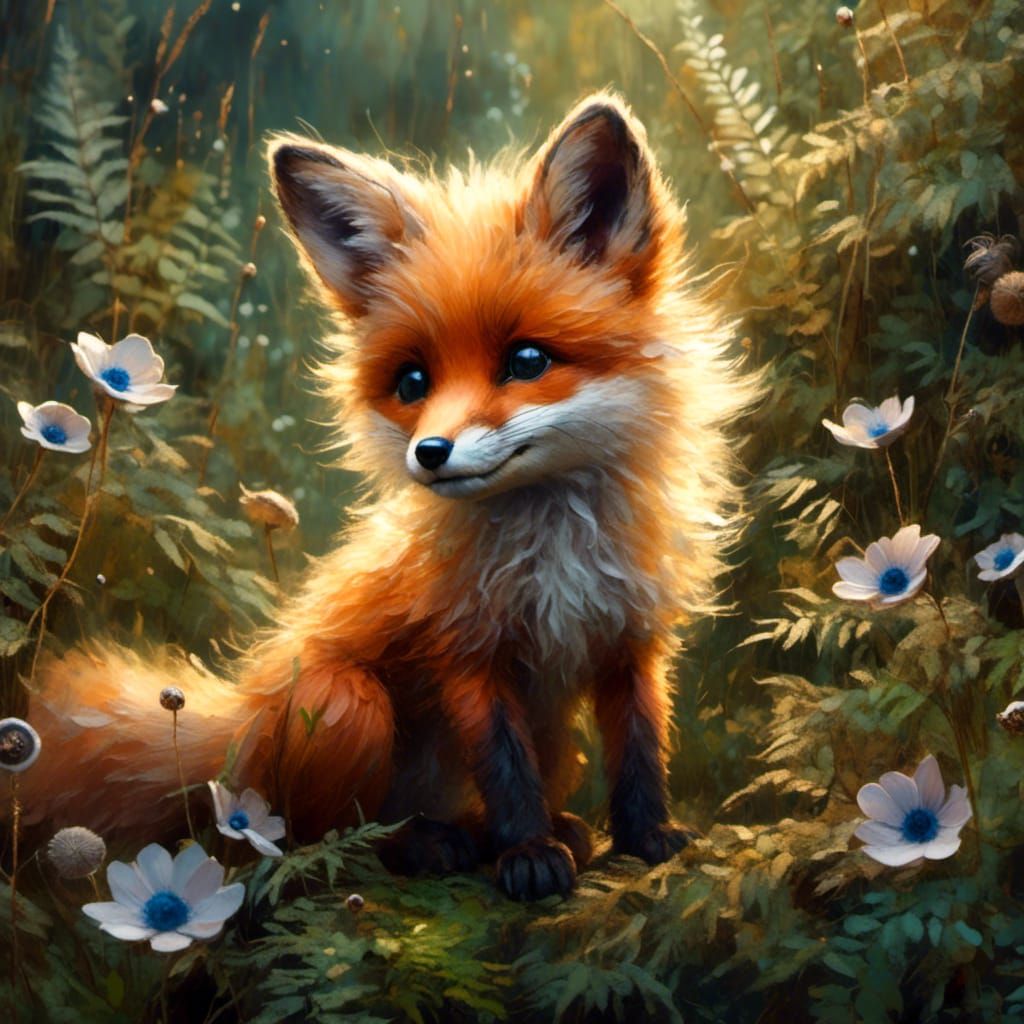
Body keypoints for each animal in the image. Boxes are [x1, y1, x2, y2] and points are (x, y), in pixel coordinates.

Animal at [19, 92, 755, 901]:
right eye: (413, 383)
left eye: (528, 360)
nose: (430, 454)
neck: (555, 550)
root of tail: (236, 730)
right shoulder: (466, 648)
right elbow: (505, 768)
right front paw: (527, 853)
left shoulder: (632, 640)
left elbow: (641, 747)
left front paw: (646, 837)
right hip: (348, 705)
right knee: (317, 846)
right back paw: (432, 844)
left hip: (550, 734)